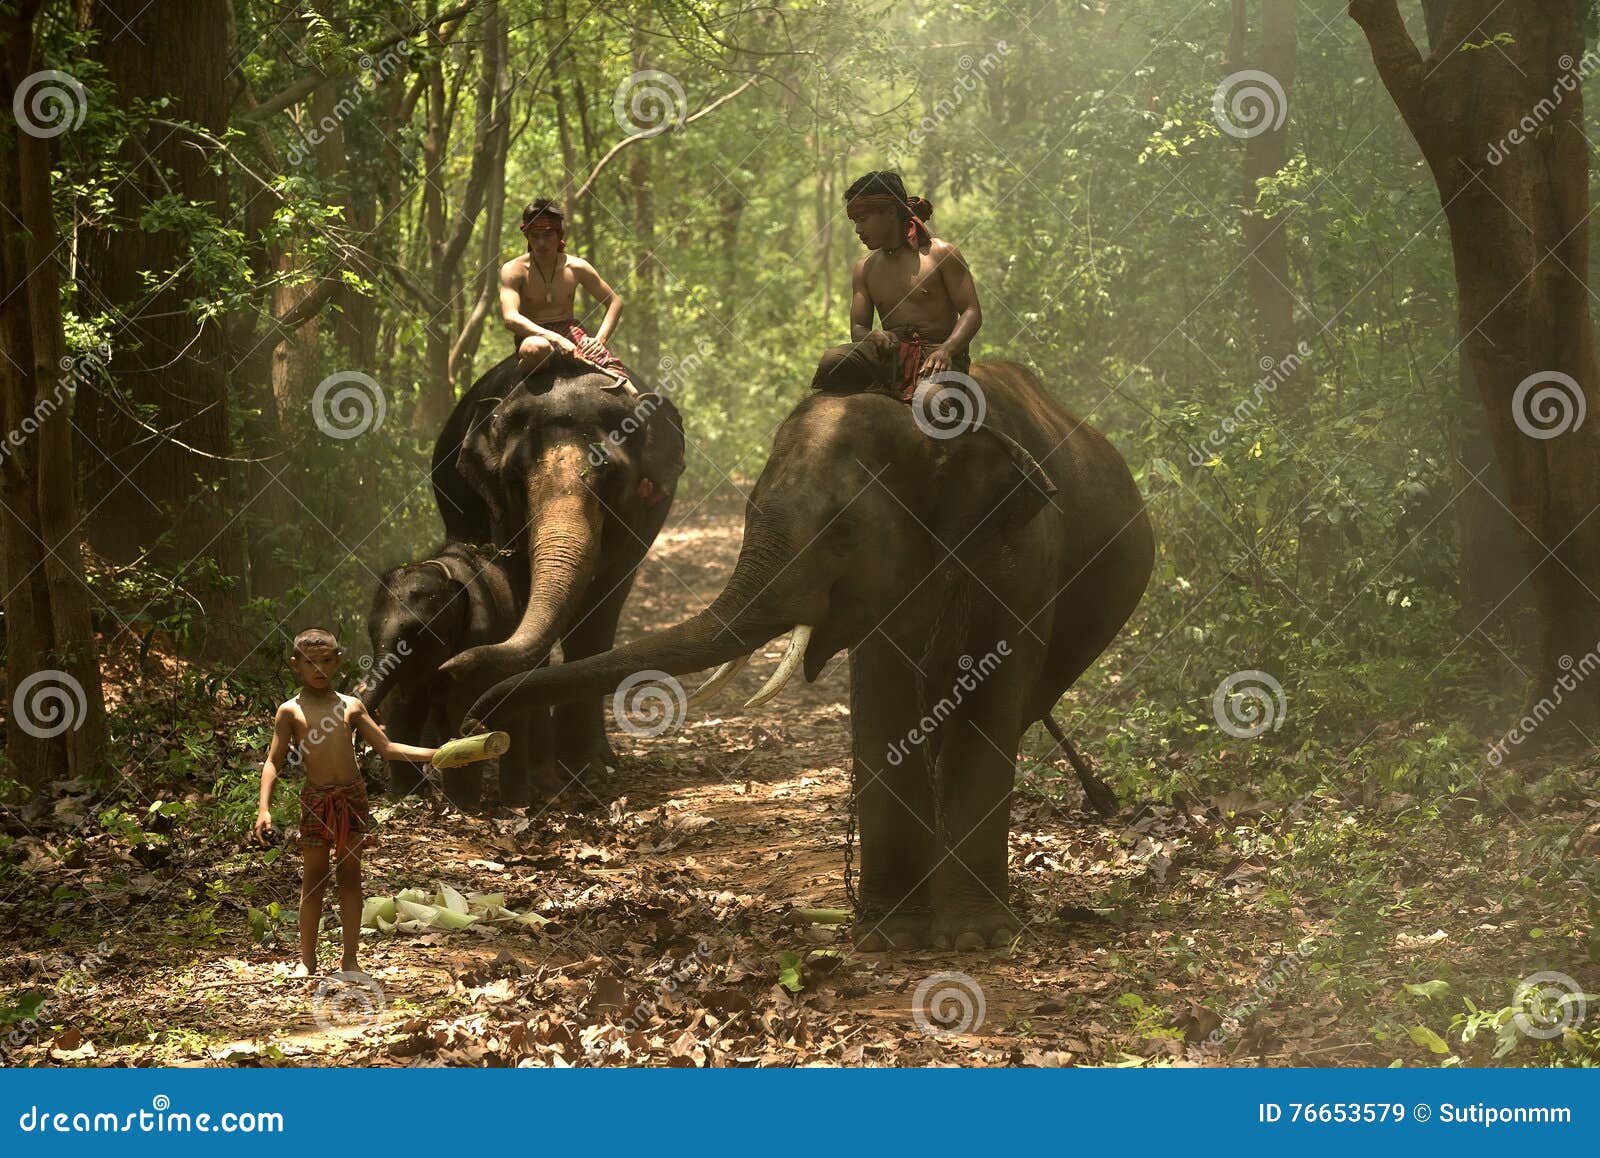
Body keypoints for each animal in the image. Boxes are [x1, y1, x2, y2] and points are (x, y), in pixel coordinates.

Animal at [355, 541, 550, 808]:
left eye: (418, 632)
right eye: (371, 631)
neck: (440, 571)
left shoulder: (477, 636)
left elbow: (458, 707)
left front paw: (462, 804)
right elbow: (401, 710)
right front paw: (403, 796)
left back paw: (516, 803)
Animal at [431, 353, 686, 792]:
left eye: (610, 474)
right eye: (514, 478)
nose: (448, 668)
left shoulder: (641, 520)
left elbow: (601, 608)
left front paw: (589, 769)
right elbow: (519, 587)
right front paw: (541, 777)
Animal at [466, 352, 1154, 951]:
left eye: (842, 530)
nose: (479, 709)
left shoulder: (1024, 557)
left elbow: (989, 702)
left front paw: (973, 939)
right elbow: (883, 699)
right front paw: (890, 939)